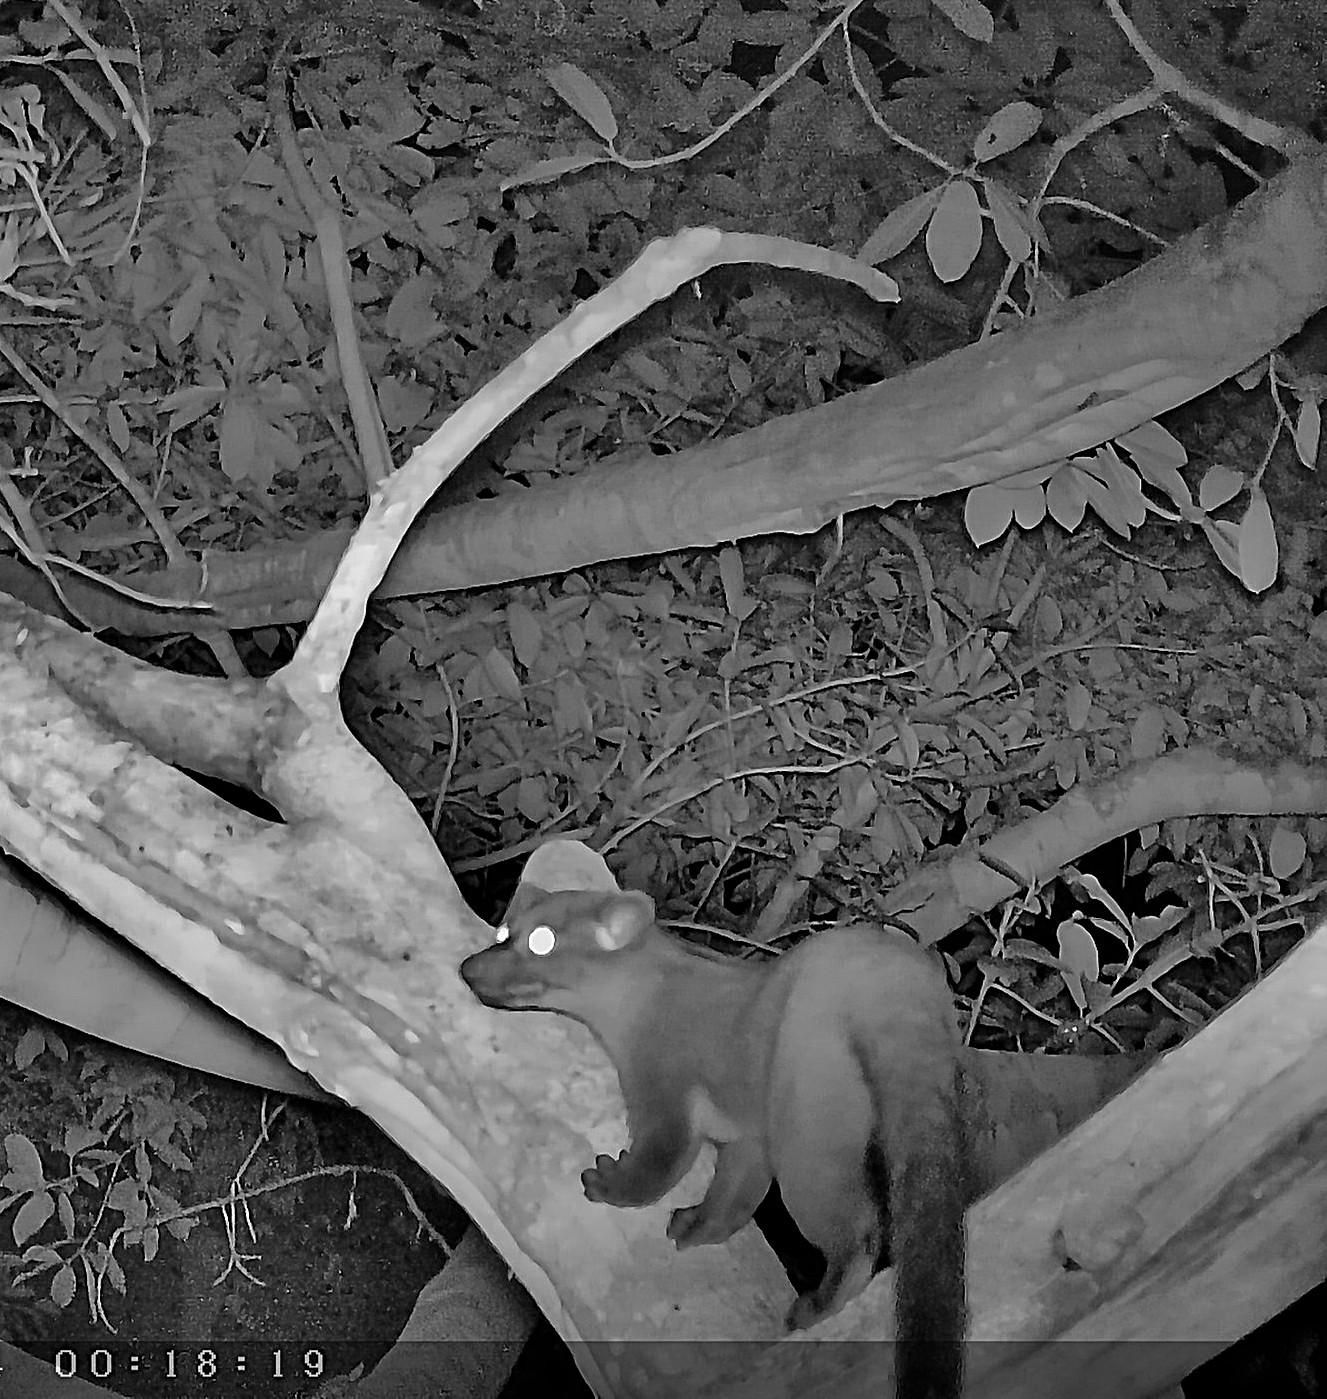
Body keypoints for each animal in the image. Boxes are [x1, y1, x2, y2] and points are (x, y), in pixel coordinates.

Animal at [459, 887, 967, 1399]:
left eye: (543, 941)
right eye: (503, 931)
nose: (468, 968)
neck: (648, 996)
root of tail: (893, 978)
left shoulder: (664, 1094)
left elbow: (656, 1169)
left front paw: (607, 1182)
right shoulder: (746, 1138)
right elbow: (730, 1202)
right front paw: (693, 1226)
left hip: (805, 1129)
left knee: (861, 1236)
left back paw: (814, 1308)